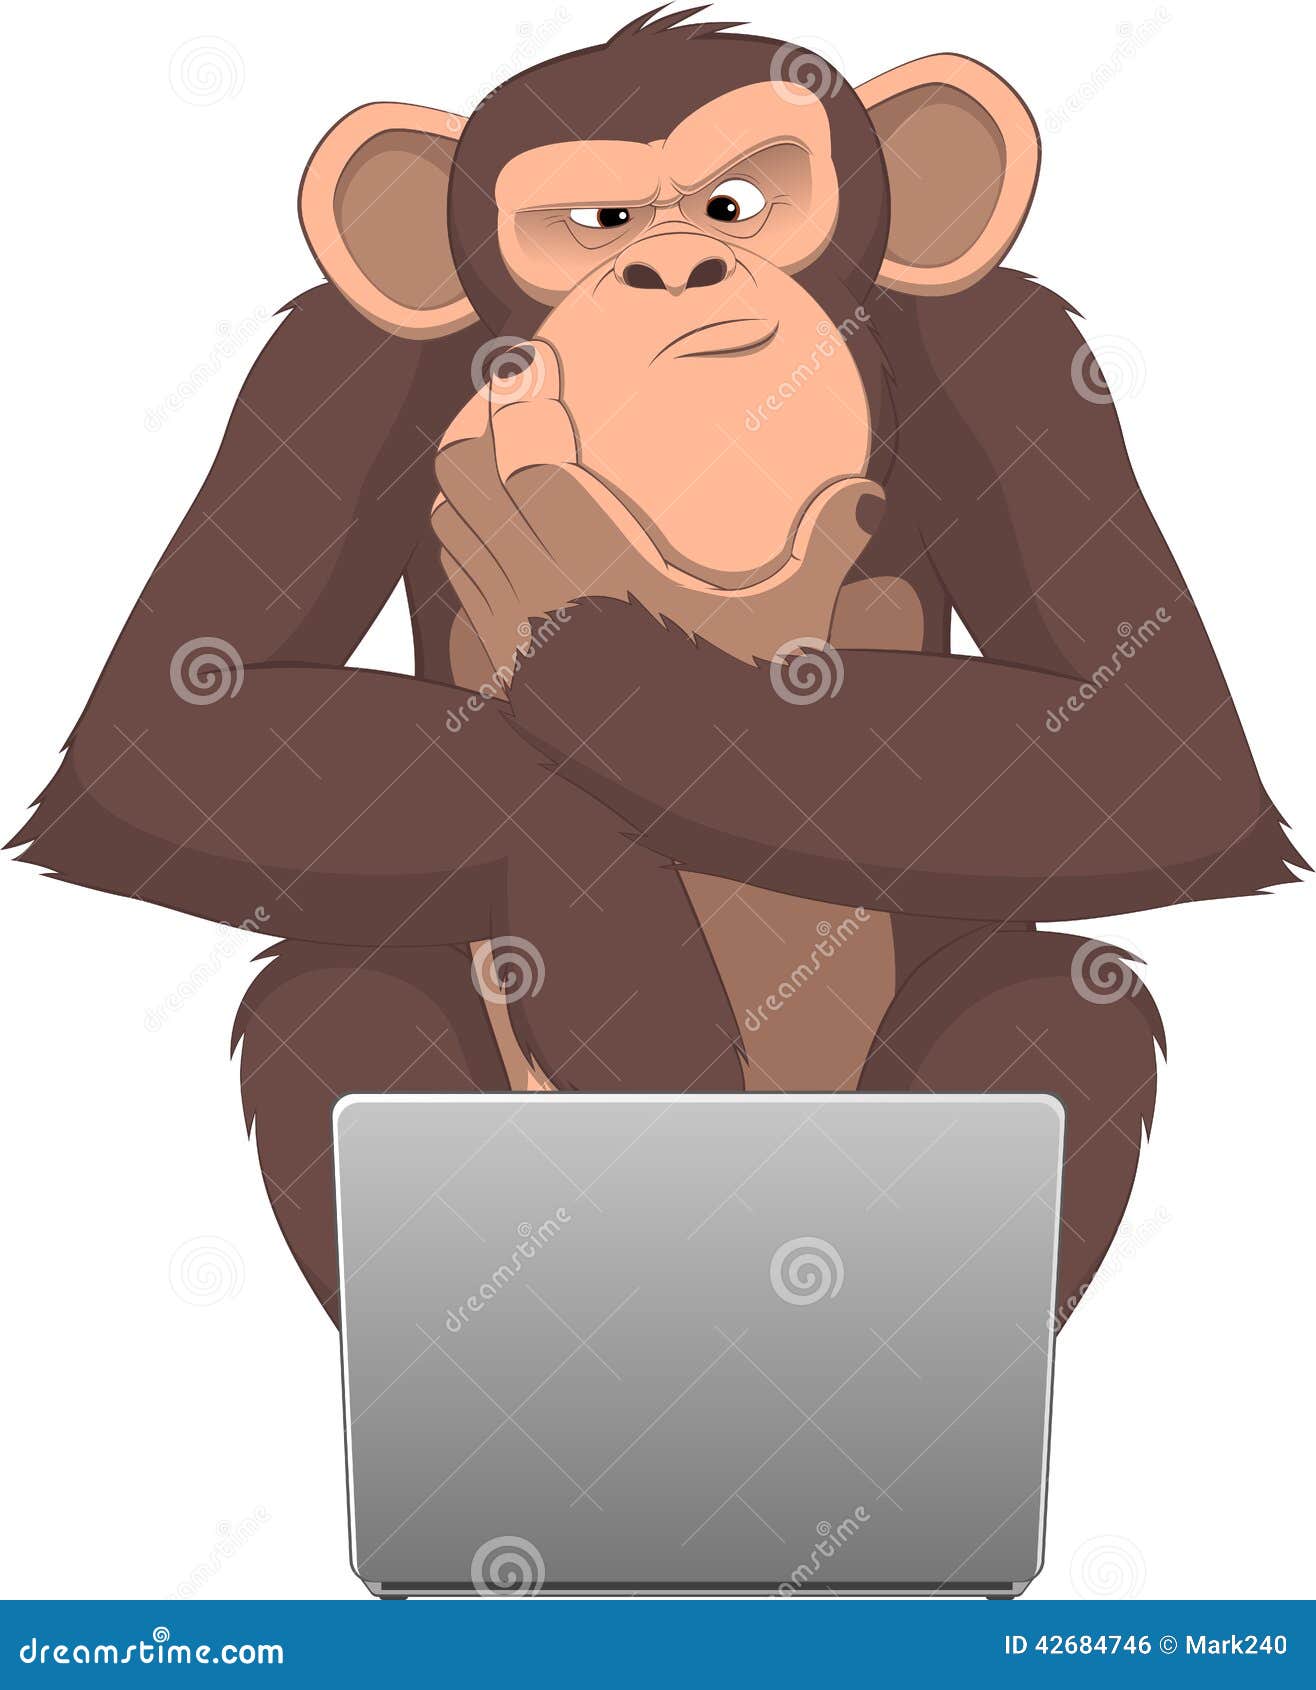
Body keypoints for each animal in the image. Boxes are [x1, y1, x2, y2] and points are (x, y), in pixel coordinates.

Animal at [11, 11, 1301, 1332]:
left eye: (738, 203)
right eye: (600, 222)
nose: (675, 270)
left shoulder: (1020, 361)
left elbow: (1141, 739)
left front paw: (570, 594)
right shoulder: (326, 370)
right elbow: (182, 716)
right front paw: (616, 959)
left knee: (1056, 1004)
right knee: (331, 996)